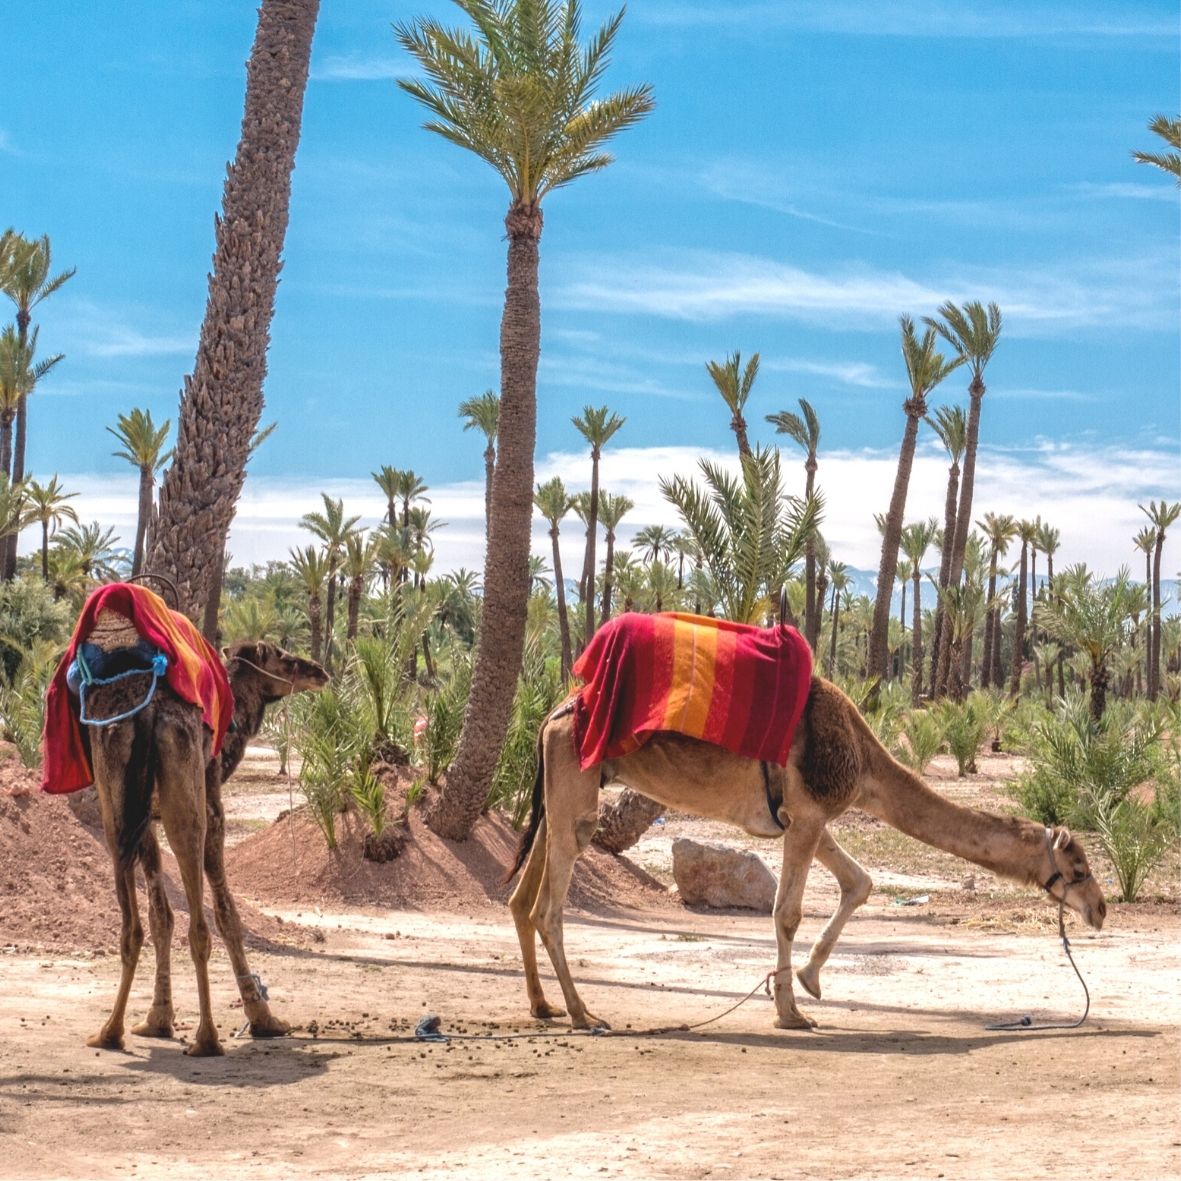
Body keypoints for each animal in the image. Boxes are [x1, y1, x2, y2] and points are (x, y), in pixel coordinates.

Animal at [83, 638, 327, 1056]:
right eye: (283, 657)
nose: (320, 671)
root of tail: (149, 716)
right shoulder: (214, 807)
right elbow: (227, 914)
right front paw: (264, 1020)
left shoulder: (145, 822)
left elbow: (160, 916)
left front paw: (156, 1020)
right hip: (187, 801)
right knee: (199, 924)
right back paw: (207, 1038)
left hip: (114, 806)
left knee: (131, 926)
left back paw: (109, 1031)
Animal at [508, 675, 1107, 1031]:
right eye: (1078, 868)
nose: (1100, 910)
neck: (865, 761)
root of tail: (552, 715)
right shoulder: (811, 813)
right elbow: (788, 912)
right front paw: (791, 1012)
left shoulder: (809, 817)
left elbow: (859, 882)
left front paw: (808, 980)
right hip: (576, 791)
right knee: (548, 907)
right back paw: (583, 1013)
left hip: (561, 794)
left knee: (520, 898)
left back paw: (542, 1006)